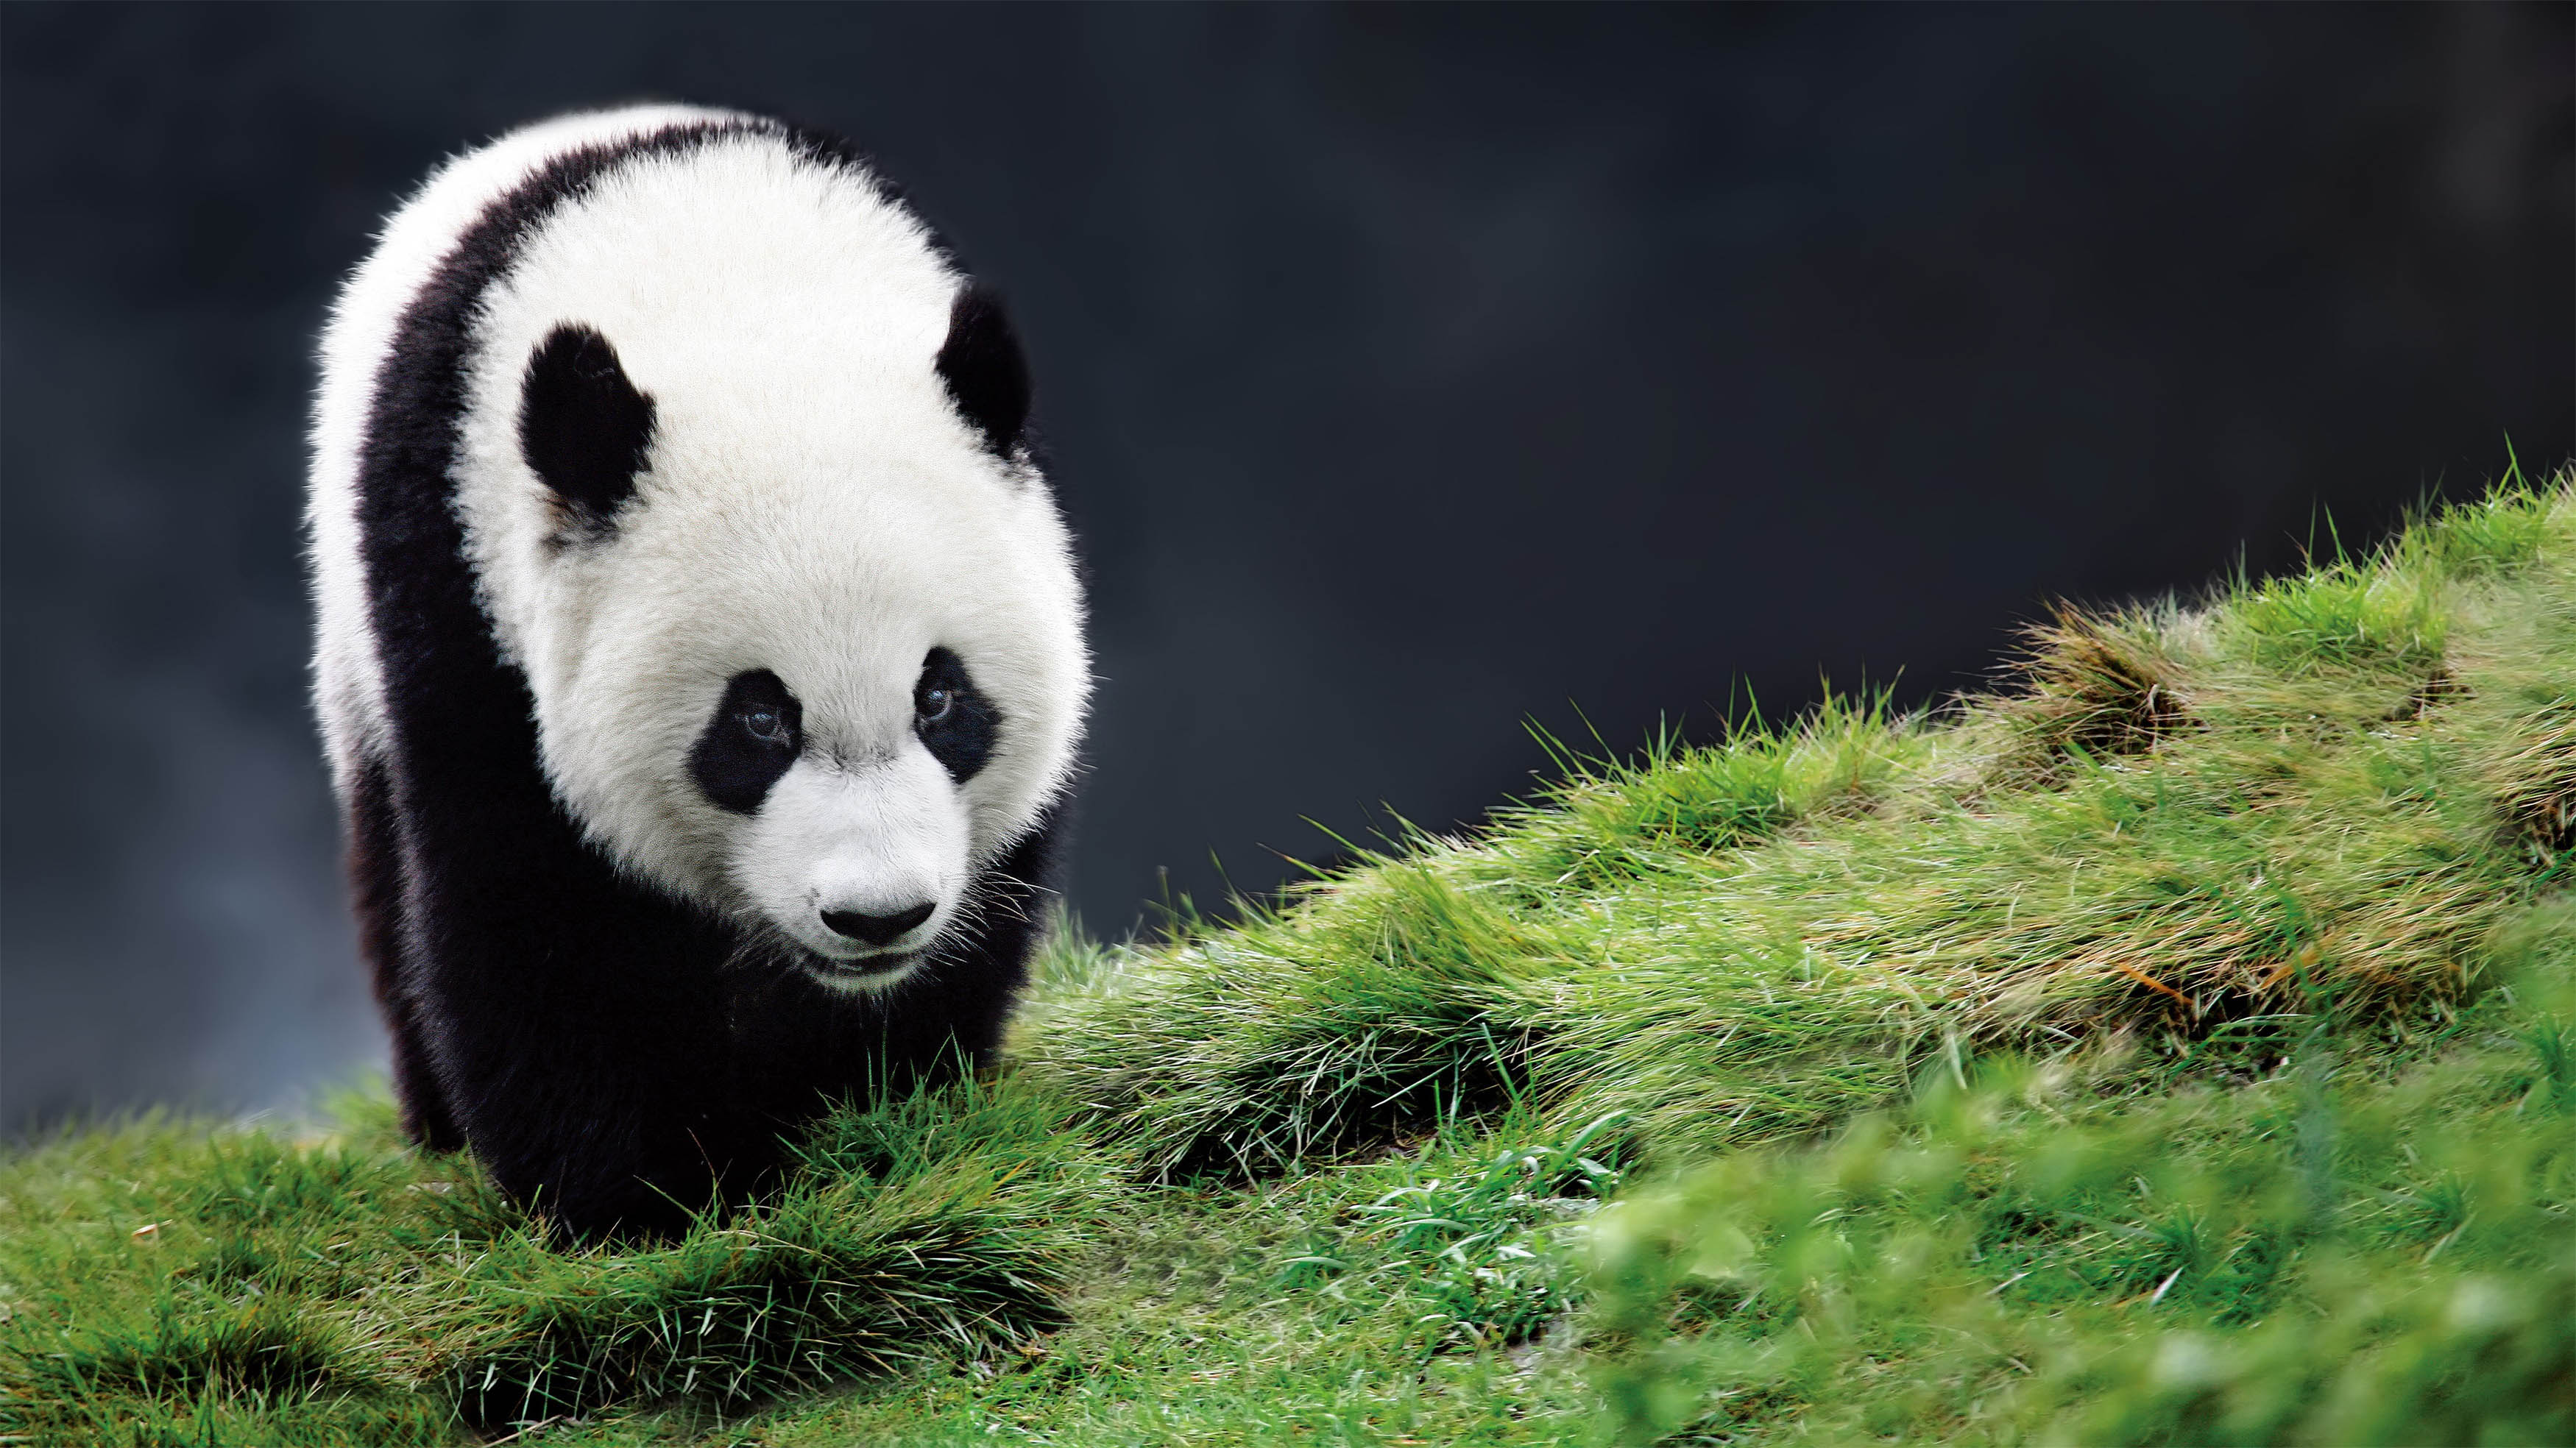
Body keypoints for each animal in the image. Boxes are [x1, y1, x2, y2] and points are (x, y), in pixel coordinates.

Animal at [306, 105, 1088, 1241]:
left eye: (940, 697)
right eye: (758, 721)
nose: (878, 918)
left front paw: (880, 1113)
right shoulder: (461, 595)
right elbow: (535, 912)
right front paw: (640, 1195)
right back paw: (439, 1125)